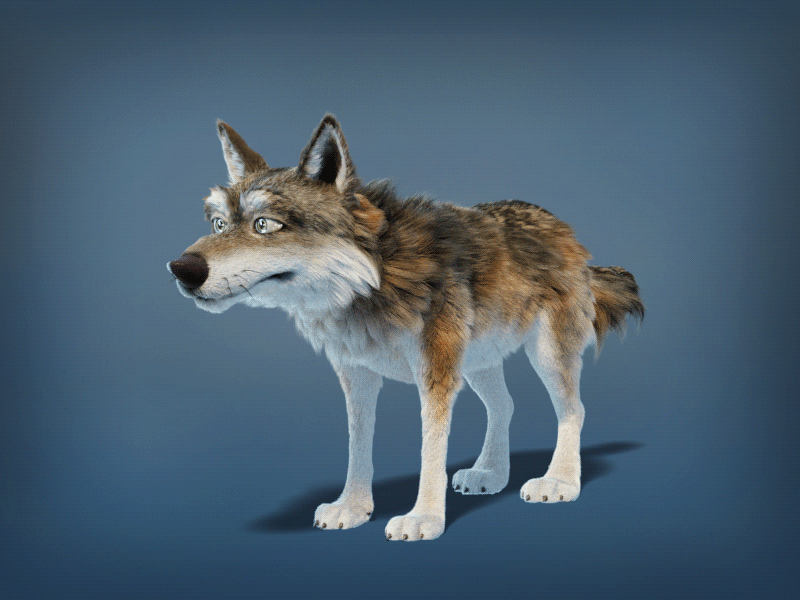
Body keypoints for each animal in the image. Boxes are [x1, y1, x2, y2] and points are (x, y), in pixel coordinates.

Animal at [168, 114, 644, 541]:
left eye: (265, 224)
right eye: (218, 224)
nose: (181, 268)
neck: (376, 278)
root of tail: (563, 227)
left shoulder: (436, 374)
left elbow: (430, 450)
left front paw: (424, 520)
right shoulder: (357, 376)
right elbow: (358, 444)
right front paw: (352, 508)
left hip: (543, 355)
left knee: (573, 410)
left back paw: (560, 482)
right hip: (477, 362)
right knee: (505, 406)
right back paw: (491, 473)